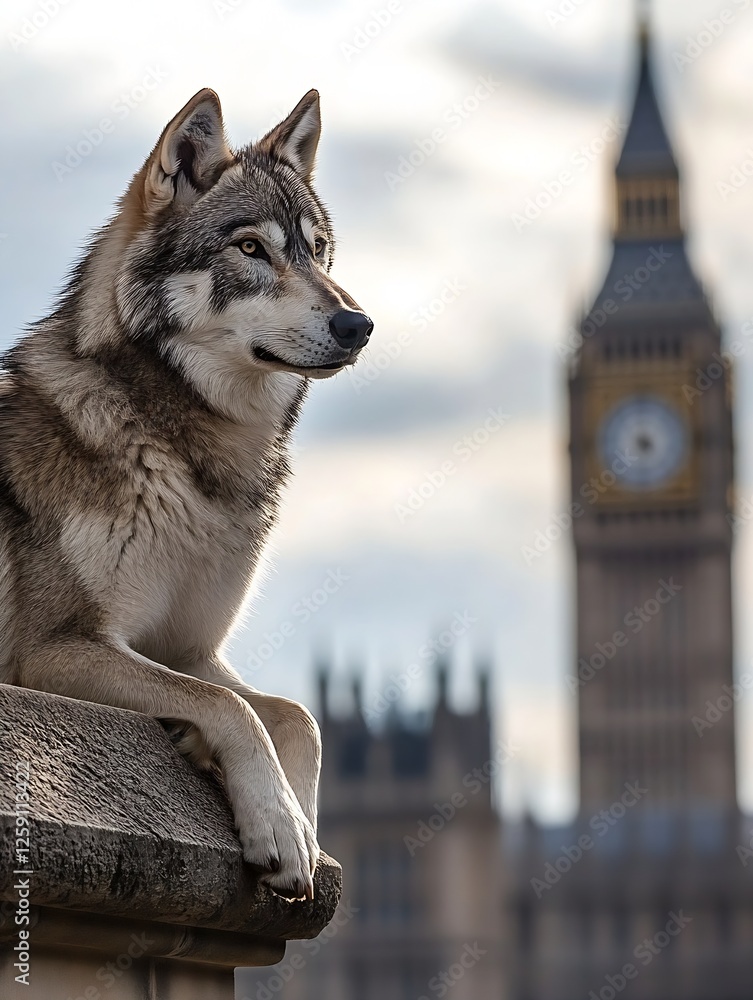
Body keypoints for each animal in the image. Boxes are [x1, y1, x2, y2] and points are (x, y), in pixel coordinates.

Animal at [0, 88, 372, 900]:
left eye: (317, 249)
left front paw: (302, 827)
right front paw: (280, 828)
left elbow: (296, 717)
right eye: (251, 249)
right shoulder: (56, 650)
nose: (357, 323)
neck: (193, 461)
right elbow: (230, 707)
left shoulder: (189, 646)